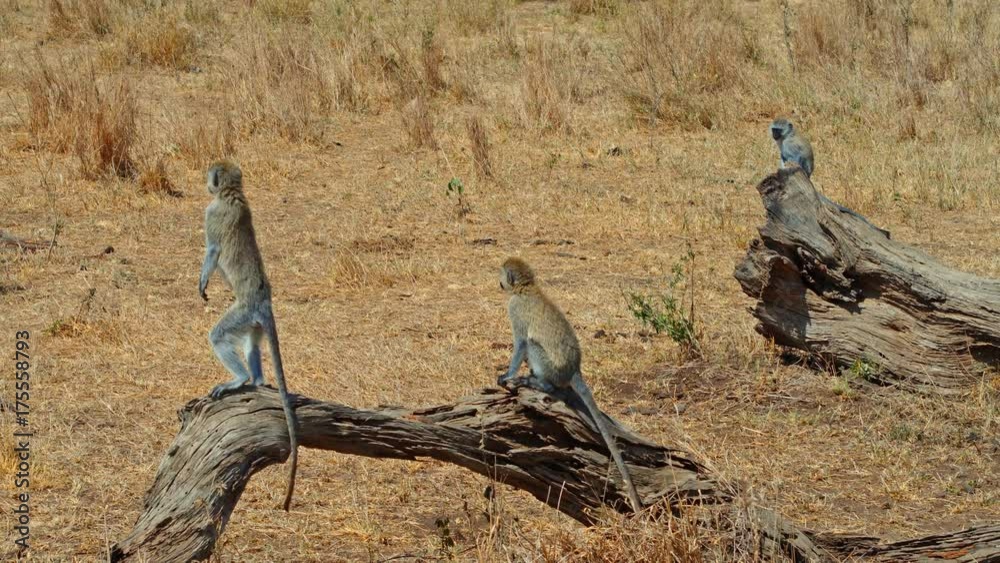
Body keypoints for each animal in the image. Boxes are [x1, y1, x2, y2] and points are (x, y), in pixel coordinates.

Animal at [199, 160, 299, 511]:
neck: (231, 194)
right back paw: (255, 380)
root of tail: (263, 302)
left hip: (241, 314)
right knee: (251, 346)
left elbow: (213, 250)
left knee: (218, 336)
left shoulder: (211, 213)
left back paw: (240, 379)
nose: (207, 182)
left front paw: (202, 282)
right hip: (252, 323)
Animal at [497, 257, 643, 513]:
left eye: (503, 275)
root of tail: (574, 368)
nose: (500, 283)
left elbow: (521, 343)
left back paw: (539, 383)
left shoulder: (515, 310)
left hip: (551, 367)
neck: (527, 289)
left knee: (533, 347)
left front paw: (507, 375)